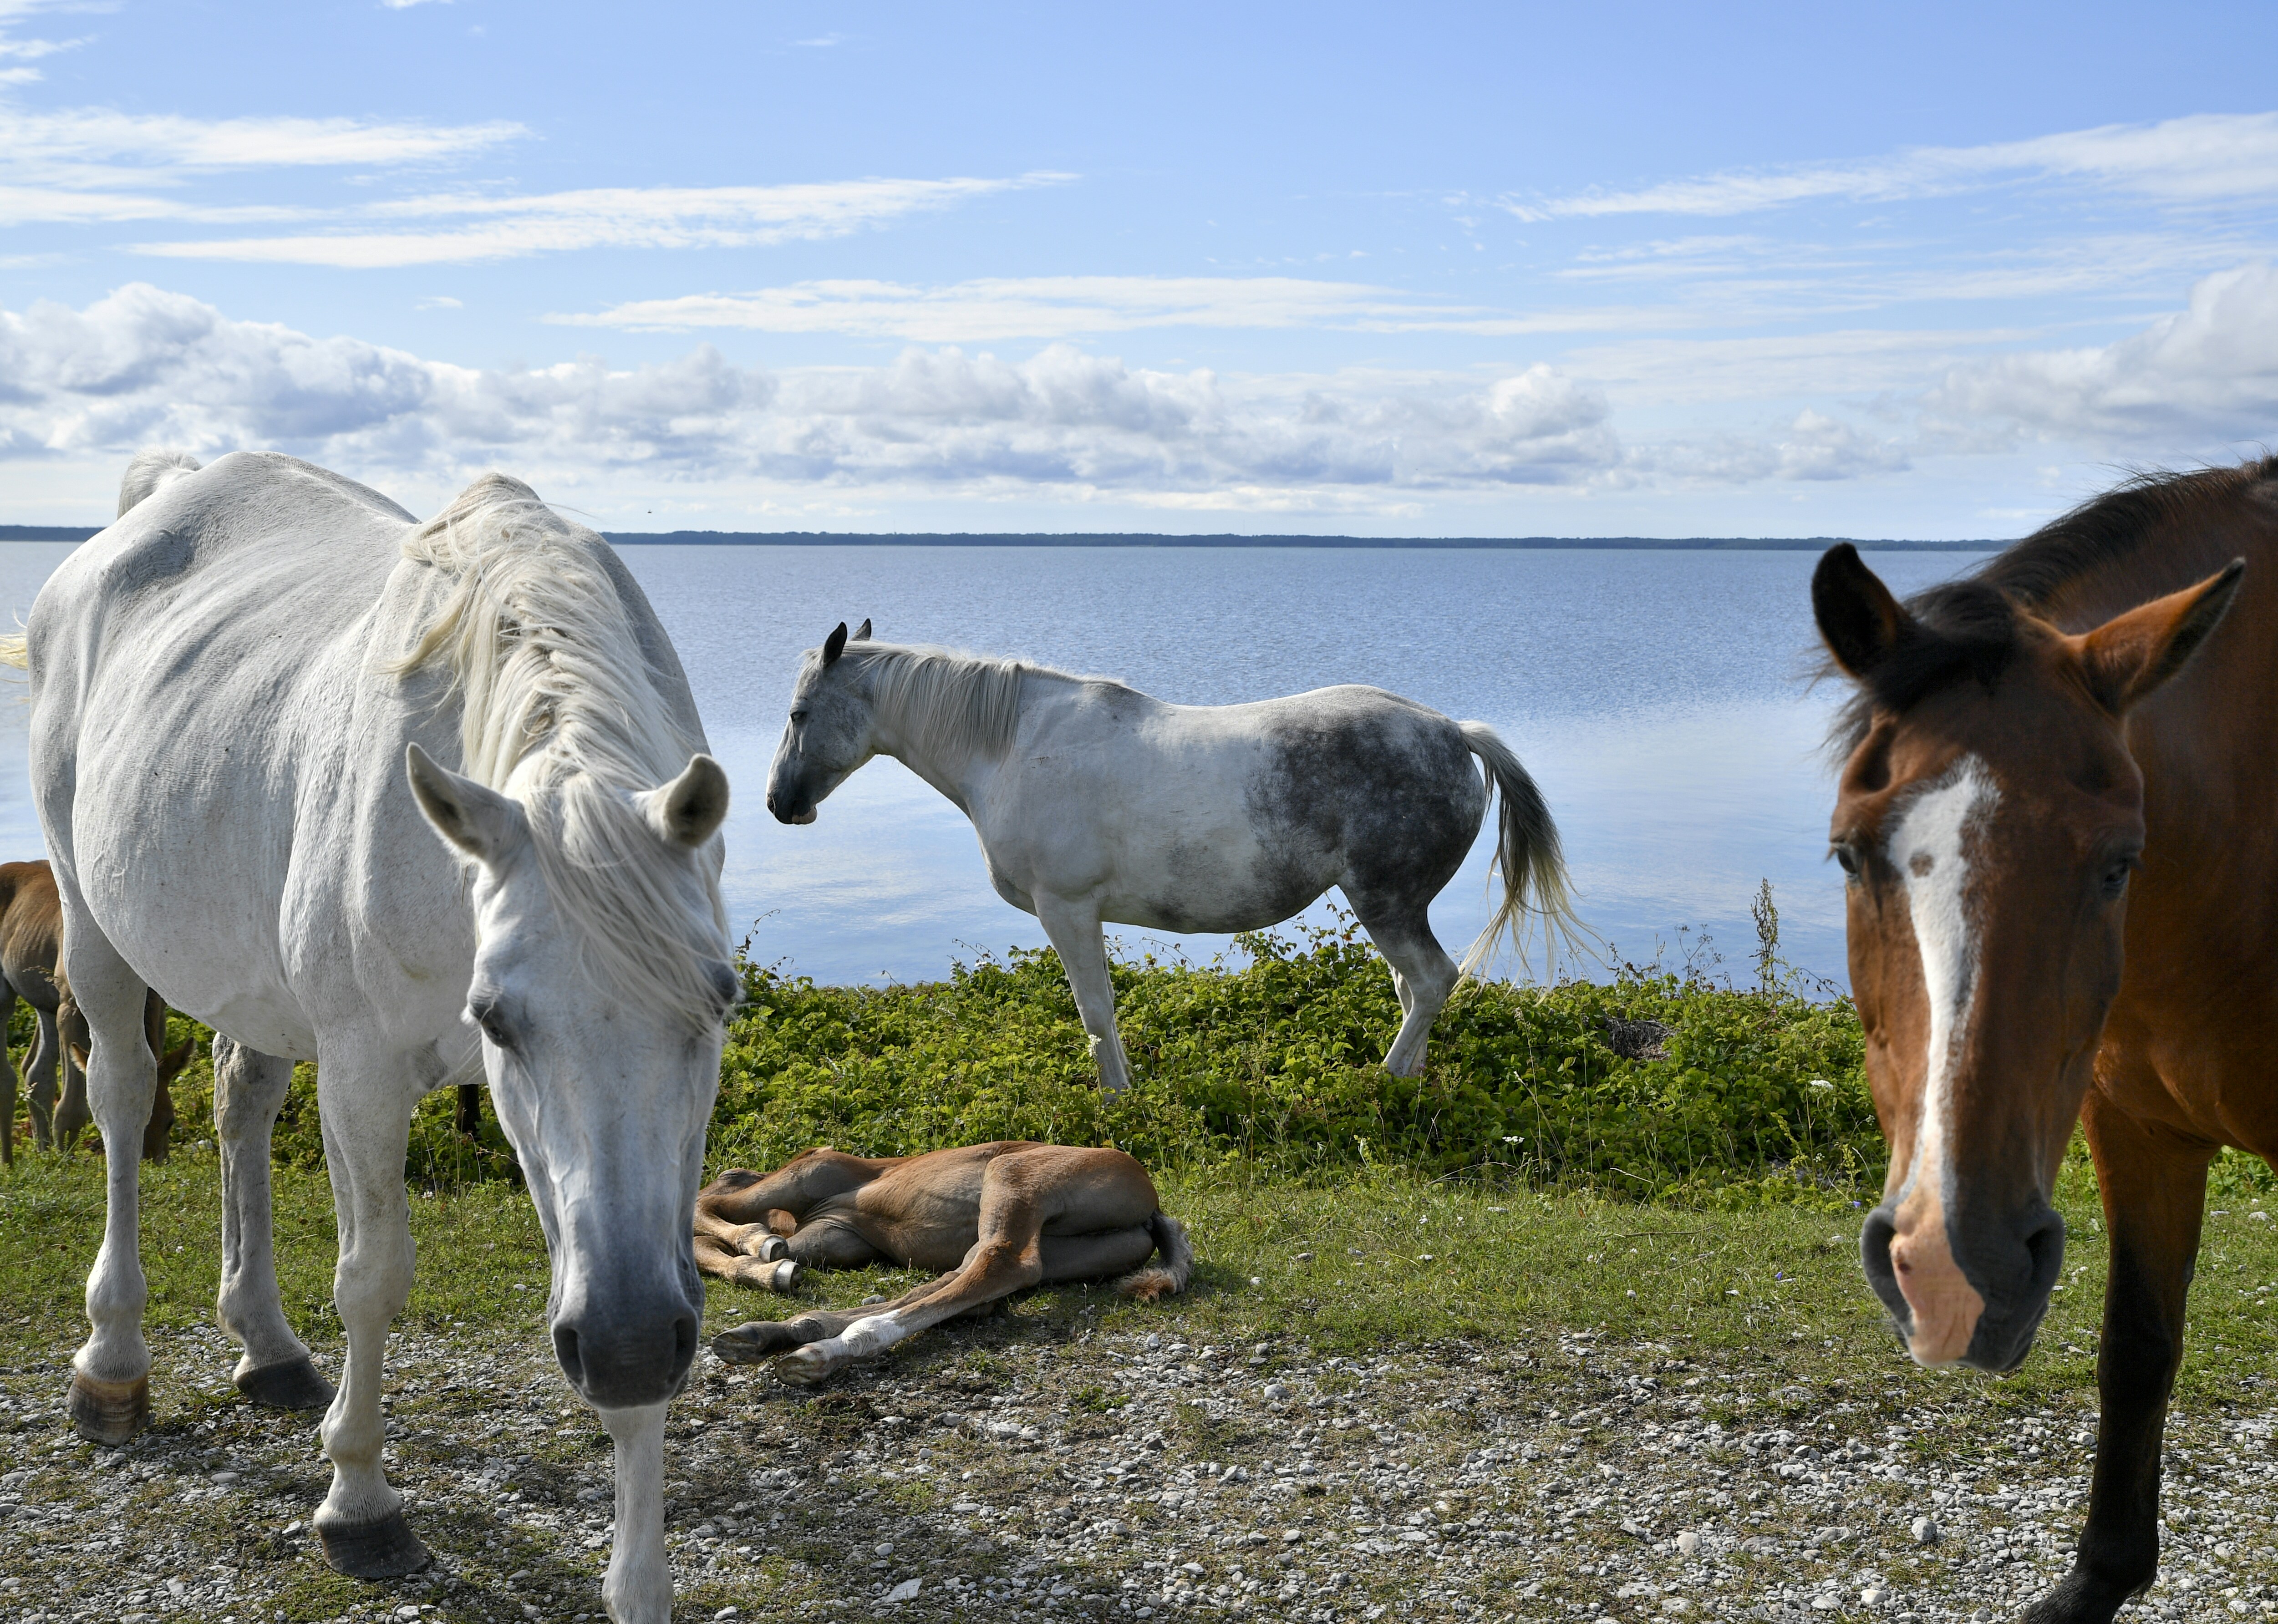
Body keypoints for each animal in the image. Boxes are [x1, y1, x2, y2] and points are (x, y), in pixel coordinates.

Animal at [17, 448, 735, 1624]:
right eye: (495, 1018)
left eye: (719, 999)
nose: (630, 1346)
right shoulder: (362, 1071)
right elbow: (372, 1274)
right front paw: (357, 1496)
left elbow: (627, 1291)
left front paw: (638, 1579)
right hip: (92, 920)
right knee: (122, 1098)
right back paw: (112, 1359)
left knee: (241, 1101)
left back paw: (265, 1345)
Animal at [697, 1141, 1191, 1382]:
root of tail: (1152, 1205)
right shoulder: (831, 1237)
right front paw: (766, 1265)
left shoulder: (807, 1177)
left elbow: (703, 1210)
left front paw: (759, 1251)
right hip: (1058, 1247)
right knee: (968, 1283)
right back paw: (776, 1333)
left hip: (1015, 1176)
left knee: (1003, 1265)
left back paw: (823, 1350)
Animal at [763, 622, 1580, 1091]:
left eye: (799, 713)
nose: (778, 802)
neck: (1012, 744)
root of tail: (1452, 732)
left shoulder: (1067, 909)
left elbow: (1094, 1009)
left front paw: (1115, 1098)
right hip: (1391, 909)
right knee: (1415, 990)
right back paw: (1407, 1078)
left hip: (1386, 902)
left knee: (1432, 981)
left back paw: (1385, 1081)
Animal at [1811, 456, 2278, 1624]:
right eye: (1848, 852)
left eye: (2116, 862)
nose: (1952, 1266)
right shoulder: (2138, 1131)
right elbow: (2138, 1344)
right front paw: (2099, 1574)